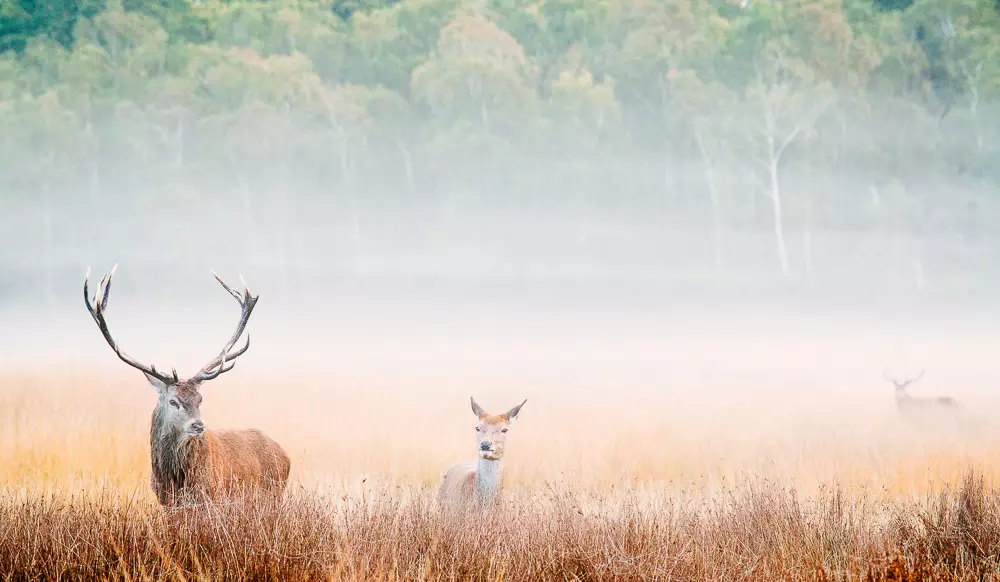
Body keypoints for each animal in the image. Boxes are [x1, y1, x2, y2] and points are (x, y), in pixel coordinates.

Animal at [84, 266, 292, 508]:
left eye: (200, 399)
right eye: (173, 401)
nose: (198, 426)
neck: (176, 481)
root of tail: (285, 455)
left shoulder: (211, 498)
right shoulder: (167, 504)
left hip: (272, 495)